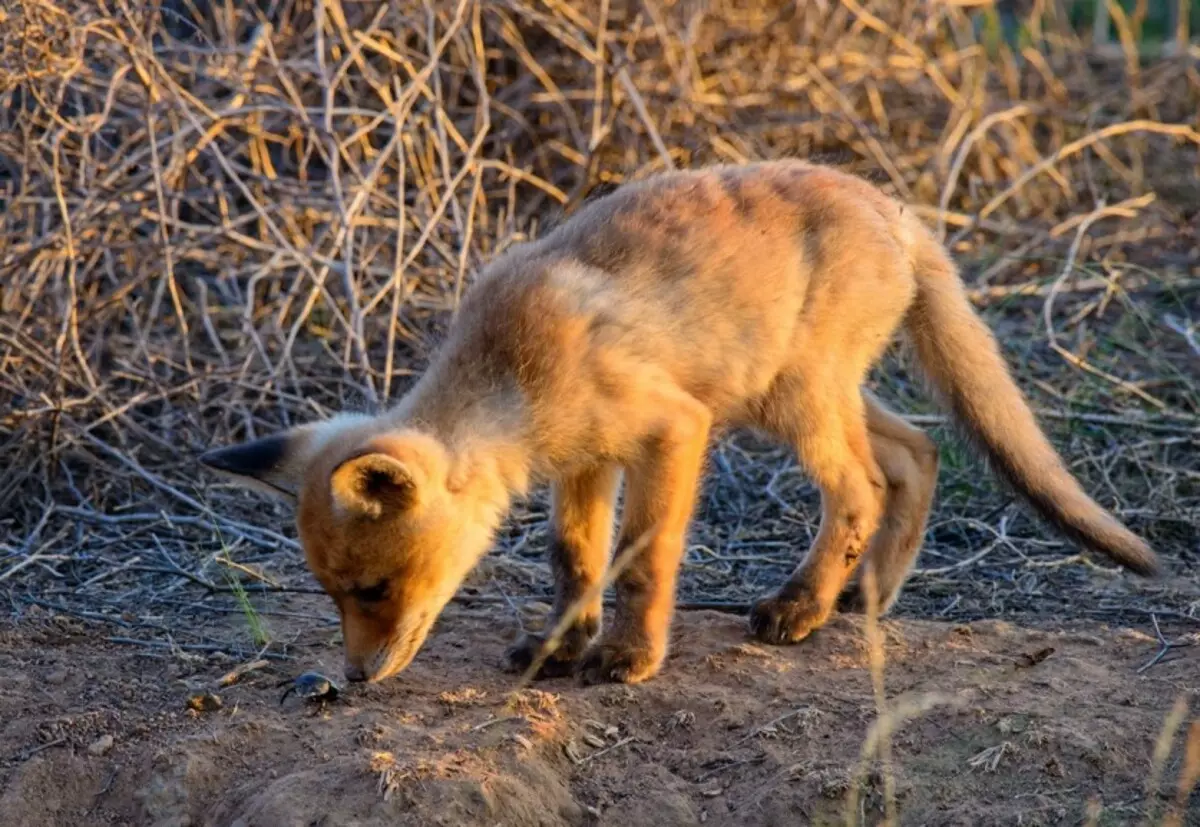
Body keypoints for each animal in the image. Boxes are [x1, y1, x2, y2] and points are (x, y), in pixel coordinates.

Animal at [199, 159, 1161, 681]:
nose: (355, 676)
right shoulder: (585, 457)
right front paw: (560, 645)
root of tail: (891, 205)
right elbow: (575, 558)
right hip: (797, 393)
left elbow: (641, 557)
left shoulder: (670, 429)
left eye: (372, 590)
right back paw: (865, 597)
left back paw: (801, 606)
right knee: (915, 453)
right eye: (334, 596)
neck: (513, 371)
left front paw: (628, 657)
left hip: (794, 401)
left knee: (858, 485)